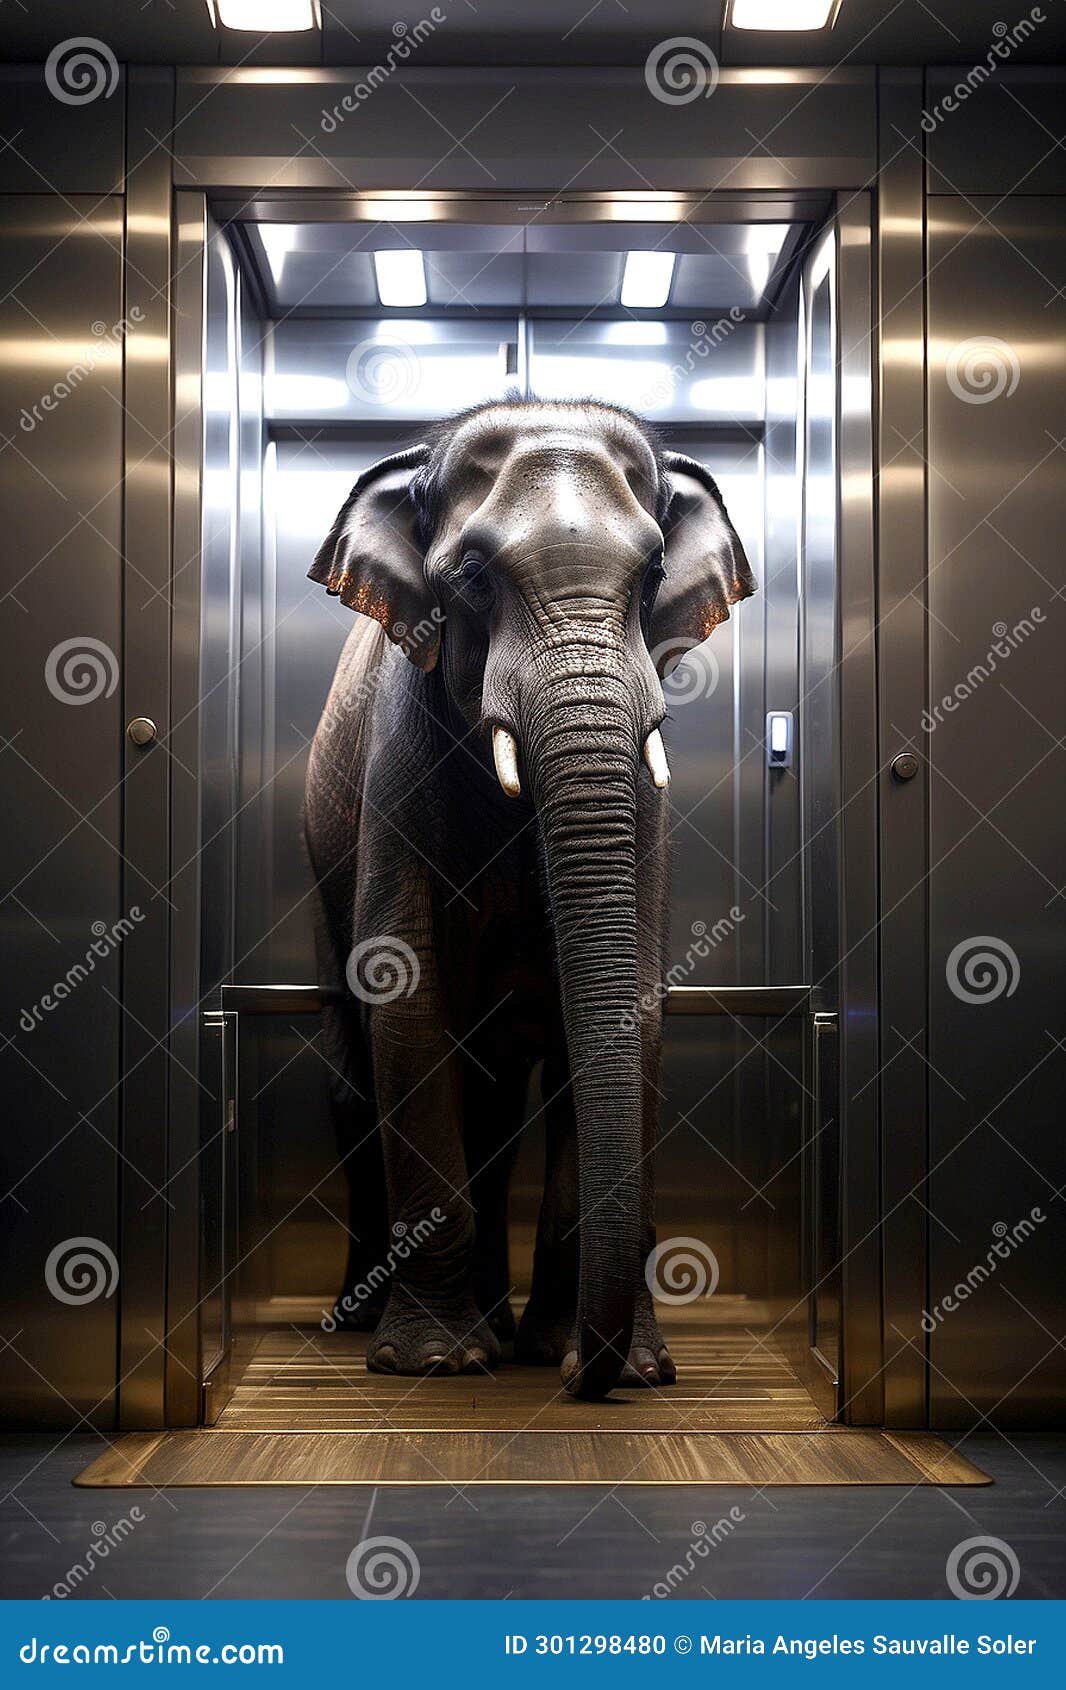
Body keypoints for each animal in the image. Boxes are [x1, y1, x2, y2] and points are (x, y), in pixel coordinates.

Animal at [304, 397, 754, 1400]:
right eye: (472, 576)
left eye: (653, 575)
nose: (589, 1378)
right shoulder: (402, 746)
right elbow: (405, 990)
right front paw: (433, 1363)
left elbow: (633, 1003)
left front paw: (617, 1364)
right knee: (356, 1080)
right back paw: (367, 1326)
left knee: (500, 1105)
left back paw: (504, 1330)